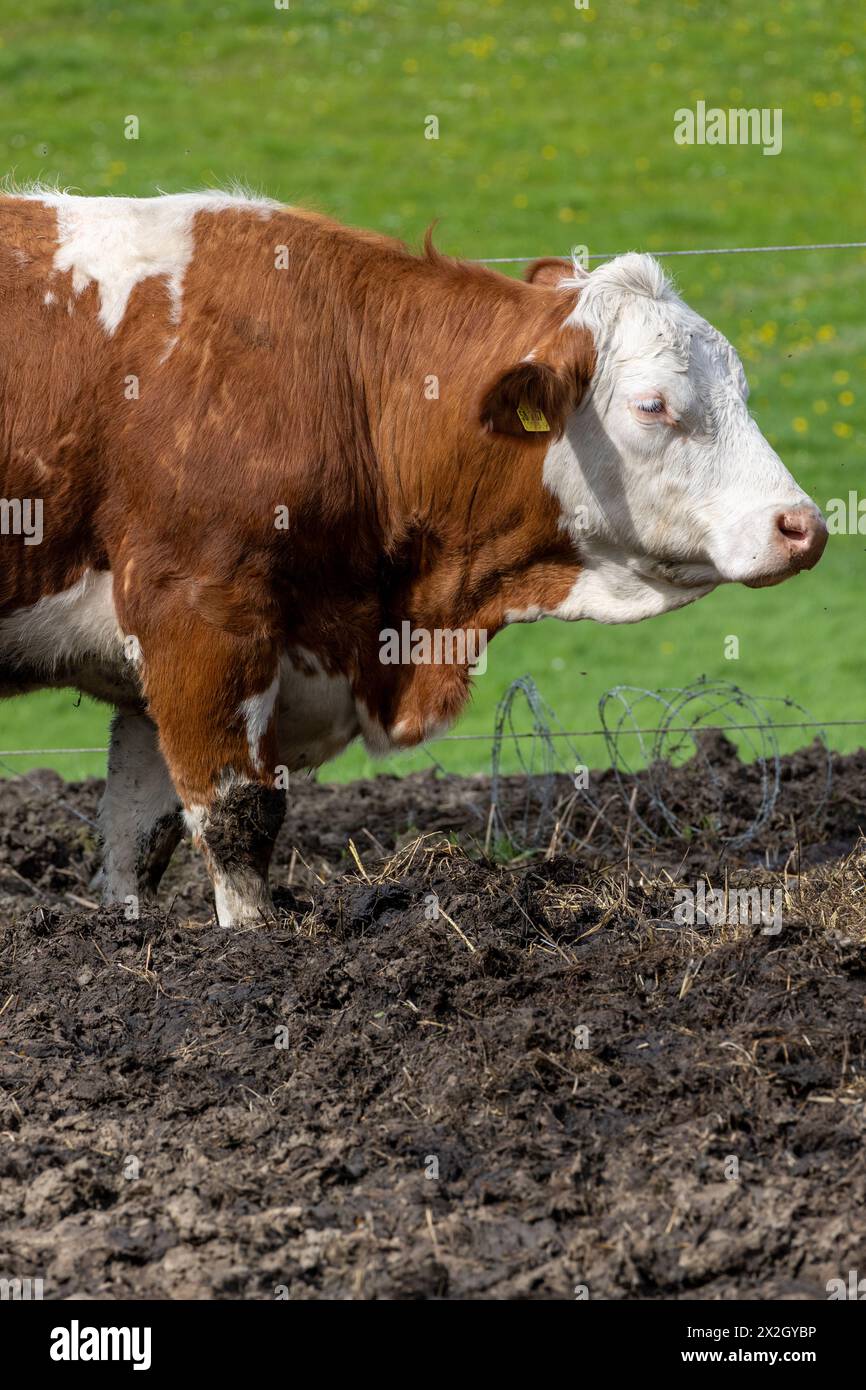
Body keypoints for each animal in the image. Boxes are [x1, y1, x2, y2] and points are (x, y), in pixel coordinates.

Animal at [0, 190, 827, 924]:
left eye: (743, 391)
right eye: (653, 406)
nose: (803, 526)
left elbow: (139, 834)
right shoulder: (201, 617)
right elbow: (238, 820)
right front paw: (252, 942)